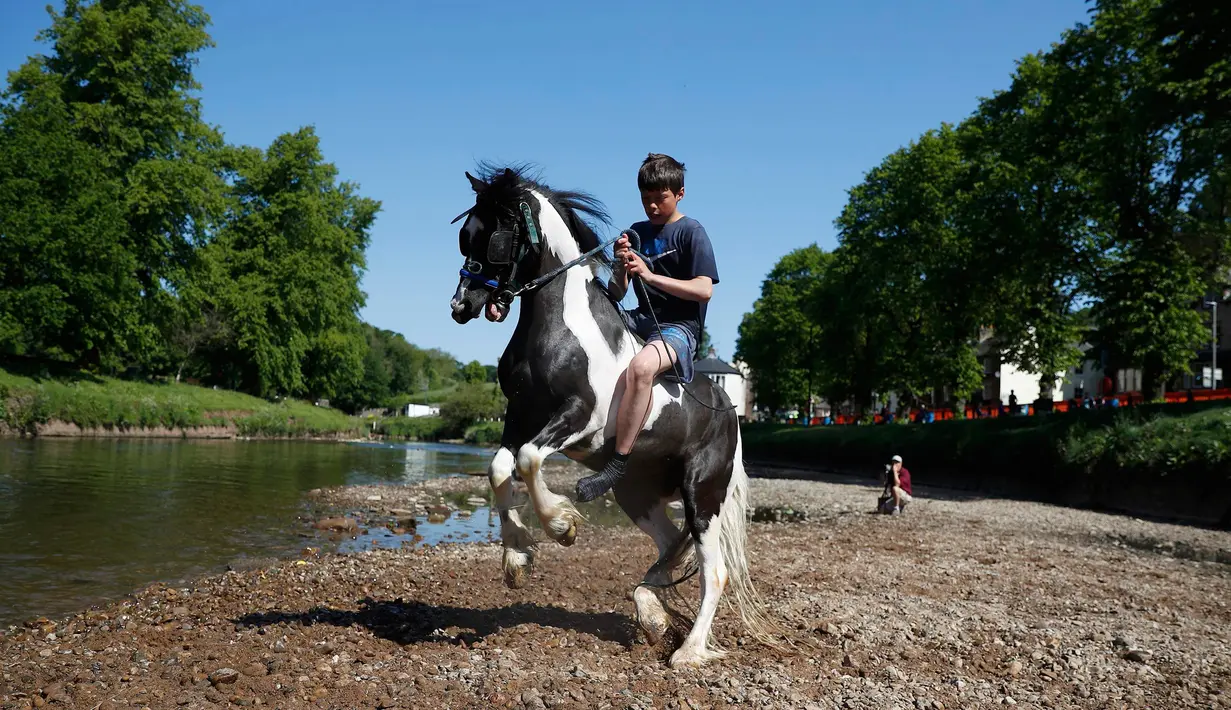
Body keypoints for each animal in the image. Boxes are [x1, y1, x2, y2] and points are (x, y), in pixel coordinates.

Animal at [446, 164, 778, 667]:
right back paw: (652, 614)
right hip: (637, 493)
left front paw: (562, 526)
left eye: (495, 239)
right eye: (466, 235)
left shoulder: (580, 418)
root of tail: (729, 411)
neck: (562, 327)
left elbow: (528, 460)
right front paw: (517, 558)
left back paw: (688, 651)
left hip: (702, 496)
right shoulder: (519, 416)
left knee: (714, 572)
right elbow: (500, 466)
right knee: (669, 543)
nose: (461, 307)